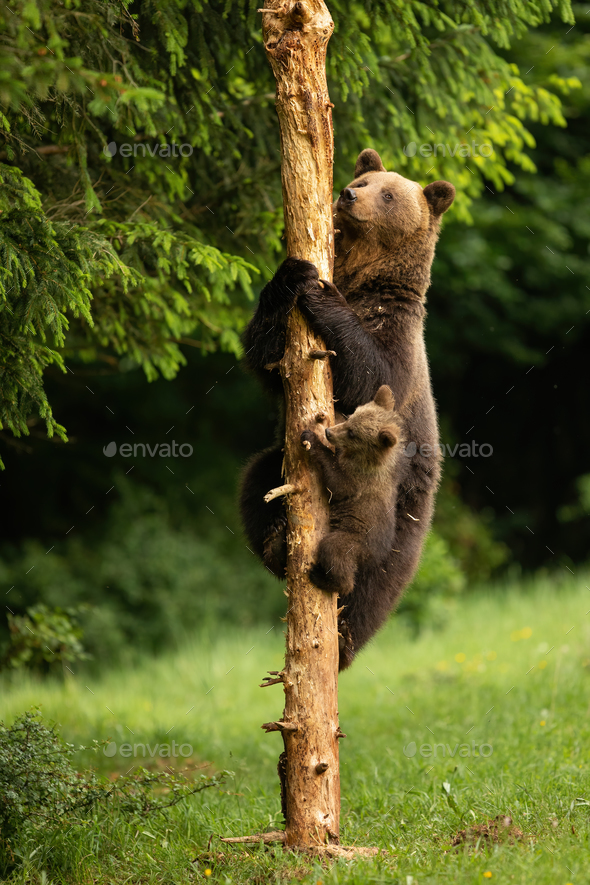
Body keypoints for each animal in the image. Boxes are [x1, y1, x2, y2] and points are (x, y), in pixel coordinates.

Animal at [300, 384, 403, 601]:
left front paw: (312, 439)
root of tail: (375, 557)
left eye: (353, 433)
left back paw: (323, 578)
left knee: (335, 552)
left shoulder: (360, 478)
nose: (329, 432)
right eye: (351, 416)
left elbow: (339, 484)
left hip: (355, 541)